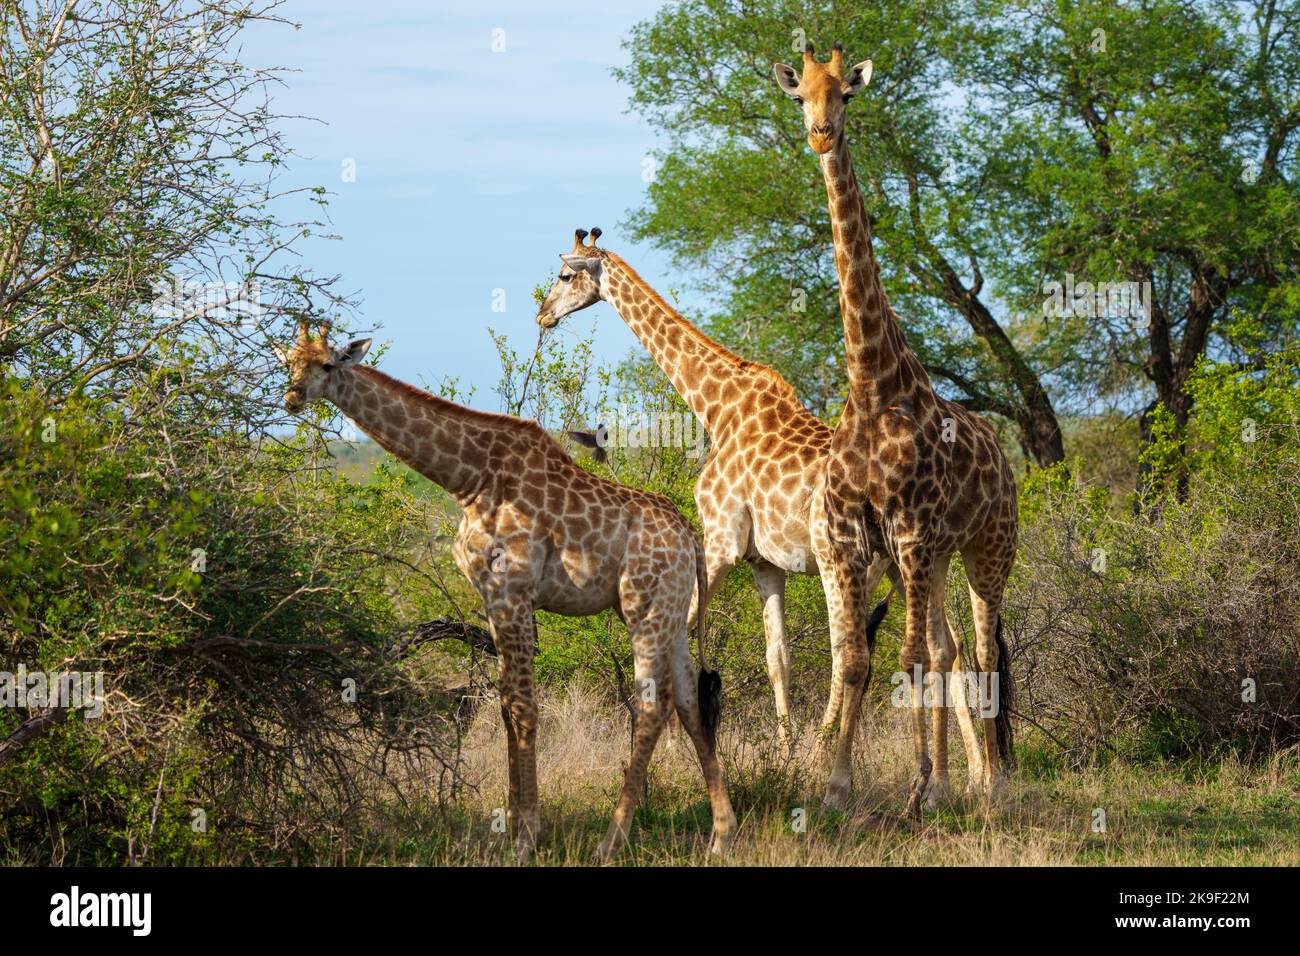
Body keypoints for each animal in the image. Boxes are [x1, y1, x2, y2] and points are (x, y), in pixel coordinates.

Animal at [273, 318, 736, 858]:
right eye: (290, 362)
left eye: (328, 364)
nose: (292, 397)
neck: (468, 479)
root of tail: (690, 537)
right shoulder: (490, 596)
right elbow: (503, 706)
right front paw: (511, 826)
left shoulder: (513, 591)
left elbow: (523, 707)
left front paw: (526, 837)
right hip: (672, 611)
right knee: (688, 702)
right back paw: (721, 836)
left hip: (643, 609)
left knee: (651, 705)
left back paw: (610, 841)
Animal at [537, 227, 890, 809]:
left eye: (565, 275)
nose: (542, 314)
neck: (716, 408)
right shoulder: (762, 561)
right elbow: (778, 657)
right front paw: (784, 752)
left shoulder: (720, 541)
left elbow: (679, 630)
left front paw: (675, 744)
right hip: (895, 564)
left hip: (842, 562)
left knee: (848, 654)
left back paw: (827, 759)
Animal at [774, 43, 1019, 815]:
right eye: (800, 96)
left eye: (846, 95)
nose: (821, 135)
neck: (871, 384)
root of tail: (1006, 456)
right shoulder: (856, 537)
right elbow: (859, 660)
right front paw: (837, 789)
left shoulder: (909, 531)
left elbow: (906, 658)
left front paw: (918, 789)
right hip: (937, 559)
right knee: (945, 649)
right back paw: (952, 781)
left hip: (986, 548)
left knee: (978, 651)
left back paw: (990, 784)